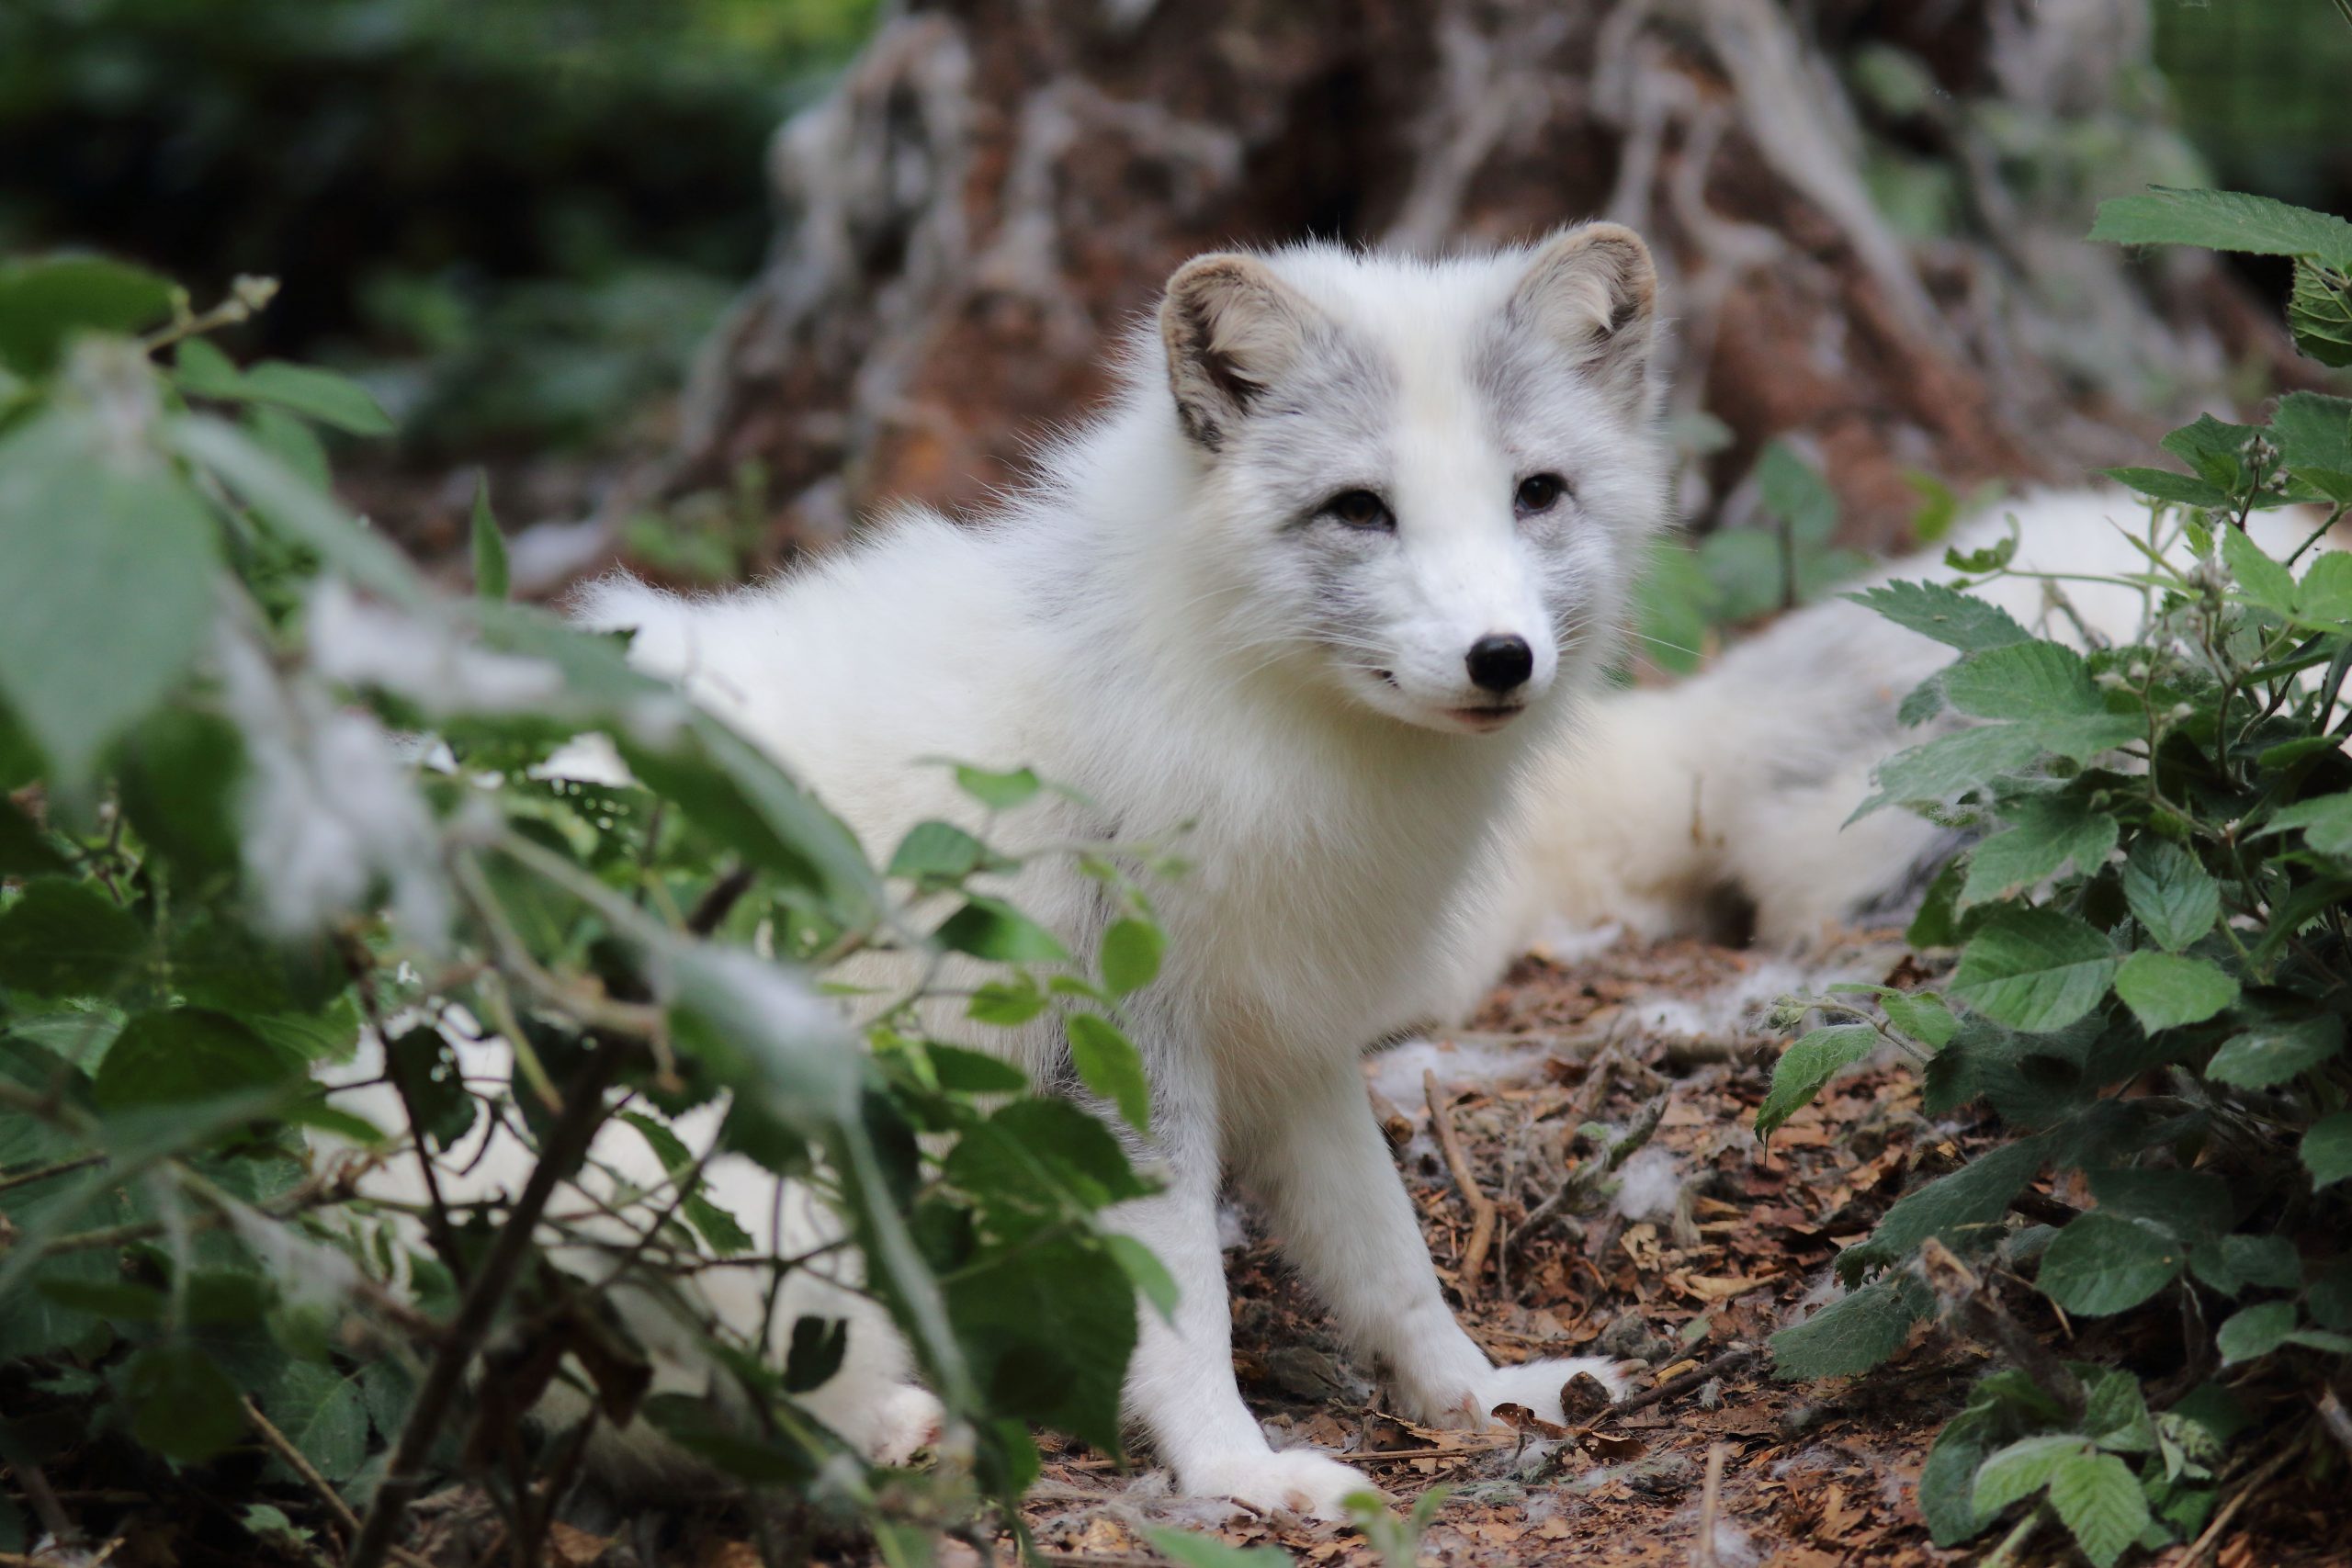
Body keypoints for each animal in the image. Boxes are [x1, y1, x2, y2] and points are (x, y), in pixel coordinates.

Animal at [560, 225, 1675, 1516]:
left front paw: (1482, 1395)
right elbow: (1182, 1297)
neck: (1229, 698)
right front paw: (1237, 1468)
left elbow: (1387, 1254)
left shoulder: (1288, 1035)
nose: (1501, 658)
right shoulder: (1121, 1049)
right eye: (1360, 509)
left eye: (1535, 493)